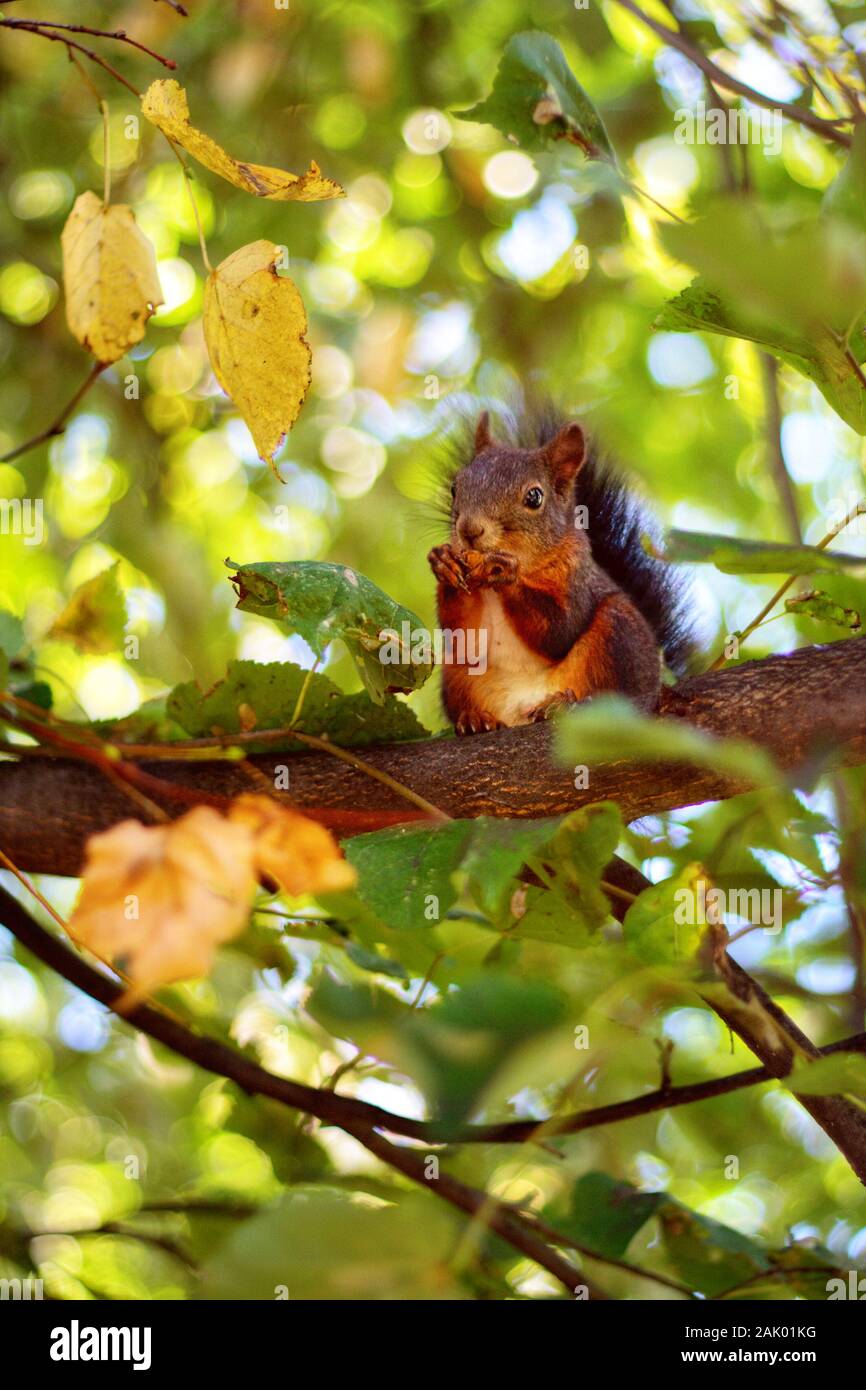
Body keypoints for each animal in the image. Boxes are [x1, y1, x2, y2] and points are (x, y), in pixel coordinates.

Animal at [427, 405, 693, 735]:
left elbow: (560, 629)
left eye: (534, 497)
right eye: (455, 487)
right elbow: (462, 634)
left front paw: (503, 571)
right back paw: (477, 718)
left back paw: (564, 704)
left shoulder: (577, 577)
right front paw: (444, 563)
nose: (469, 530)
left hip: (619, 634)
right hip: (458, 672)